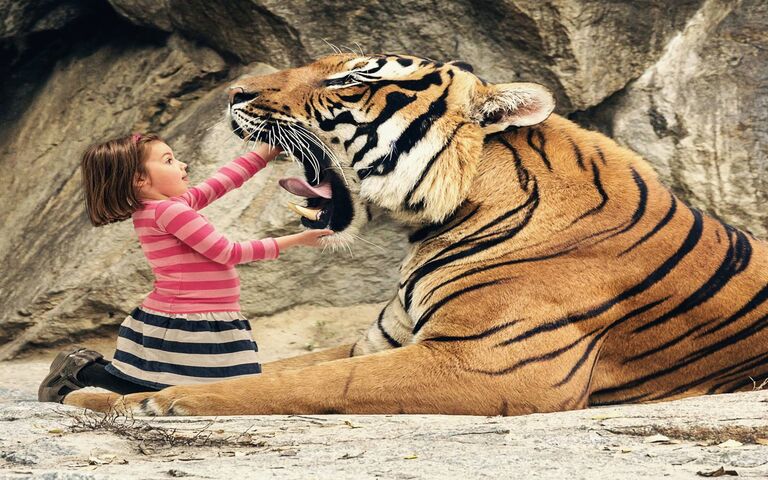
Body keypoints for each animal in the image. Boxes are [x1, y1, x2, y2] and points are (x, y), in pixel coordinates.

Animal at [65, 53, 768, 416]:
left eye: (349, 79)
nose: (234, 93)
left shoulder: (488, 365)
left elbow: (294, 384)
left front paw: (150, 403)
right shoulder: (379, 341)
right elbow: (275, 367)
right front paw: (96, 387)